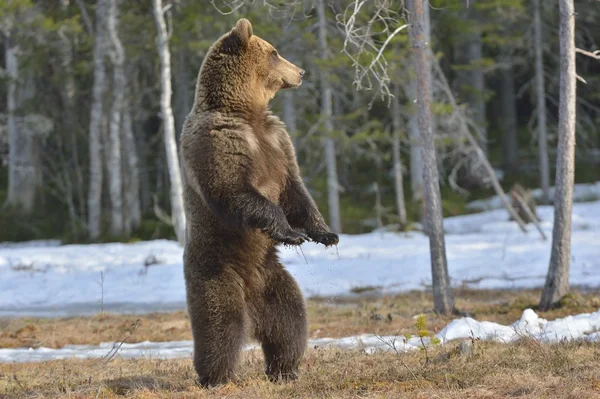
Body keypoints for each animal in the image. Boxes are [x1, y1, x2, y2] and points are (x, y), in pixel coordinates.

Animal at [179, 18, 338, 388]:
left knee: (290, 320)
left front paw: (325, 233)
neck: (246, 112)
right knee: (219, 326)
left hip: (271, 277)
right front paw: (291, 233)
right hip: (216, 269)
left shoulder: (278, 142)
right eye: (275, 52)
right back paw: (215, 376)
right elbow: (234, 190)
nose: (301, 71)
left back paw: (285, 369)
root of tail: (252, 307)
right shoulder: (220, 140)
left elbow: (295, 191)